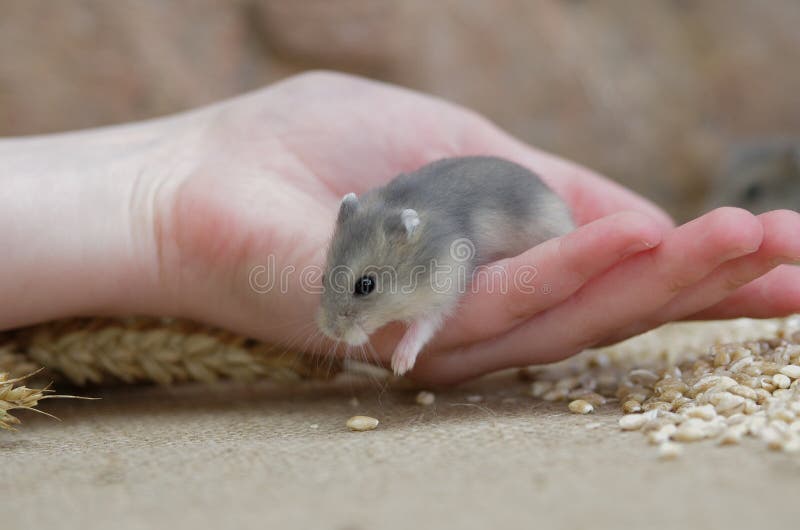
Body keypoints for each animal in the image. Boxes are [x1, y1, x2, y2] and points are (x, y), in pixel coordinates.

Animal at [317, 156, 575, 375]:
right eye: (323, 278)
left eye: (366, 285)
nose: (333, 333)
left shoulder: (442, 292)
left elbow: (423, 326)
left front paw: (400, 365)